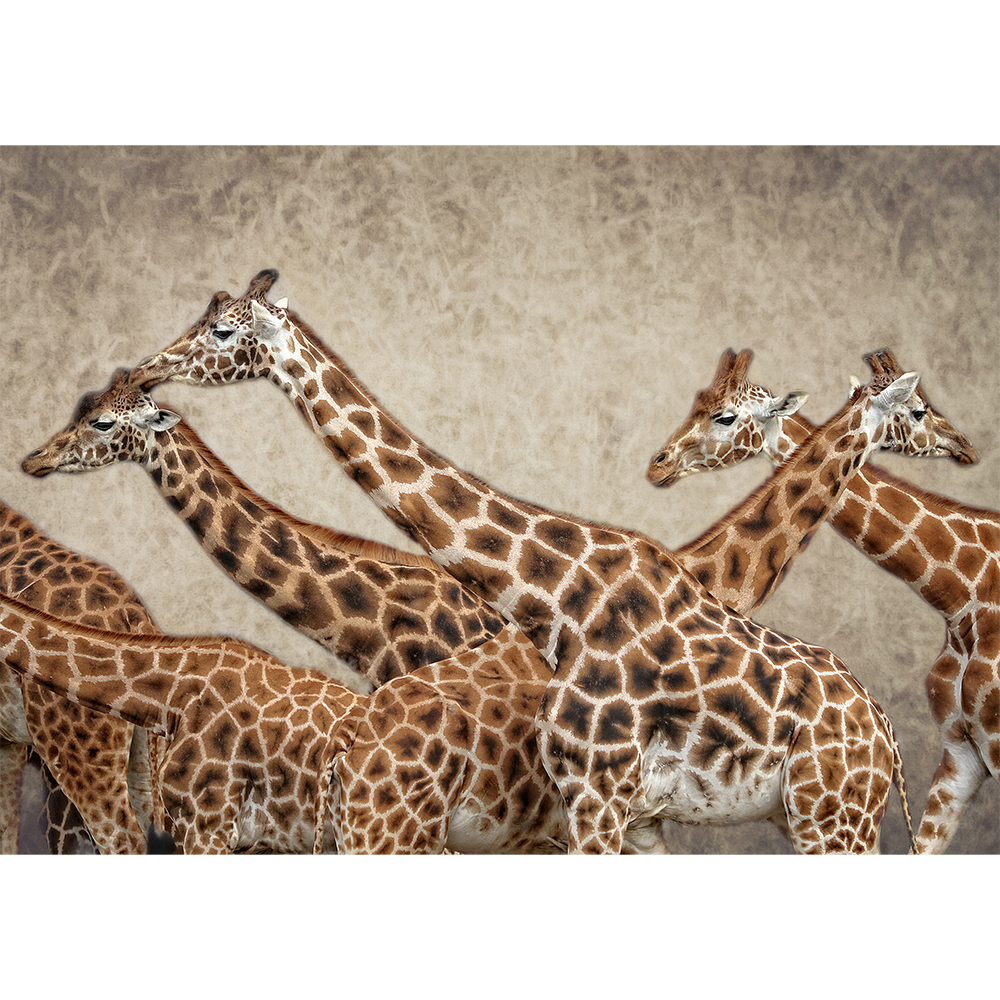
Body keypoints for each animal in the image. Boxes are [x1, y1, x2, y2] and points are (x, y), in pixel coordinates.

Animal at [128, 270, 932, 854]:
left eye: (224, 330)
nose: (146, 369)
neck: (558, 597)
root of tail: (887, 733)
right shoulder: (614, 812)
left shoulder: (600, 799)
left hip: (834, 812)